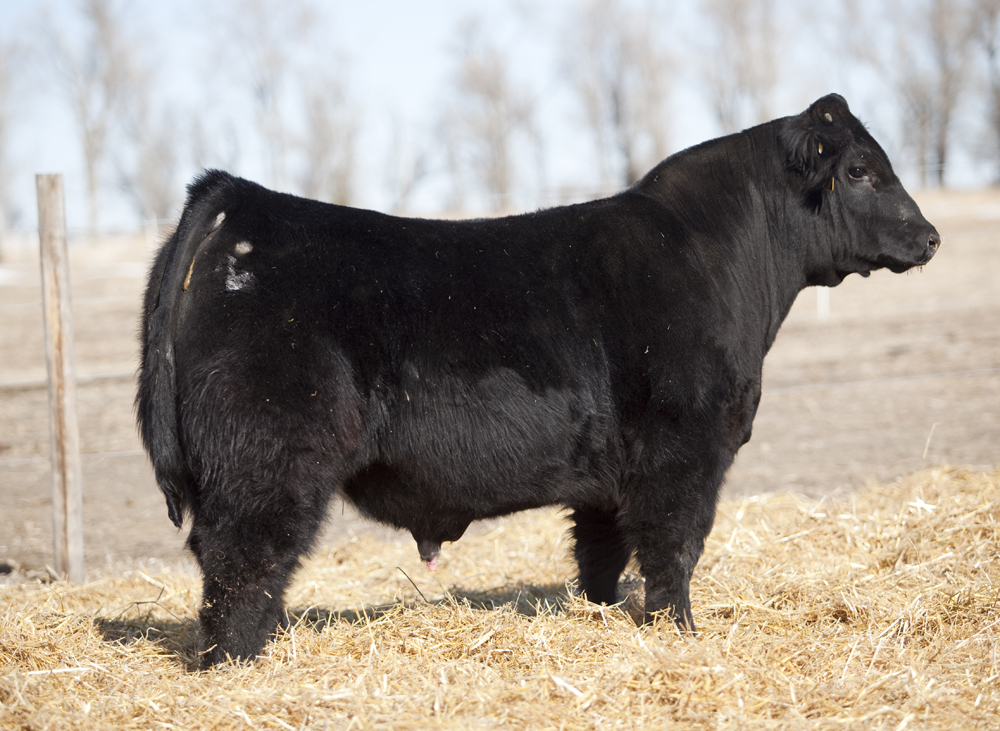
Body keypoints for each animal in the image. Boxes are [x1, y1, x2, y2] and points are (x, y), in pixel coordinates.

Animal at [137, 94, 939, 667]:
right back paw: (242, 660)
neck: (718, 257)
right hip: (267, 456)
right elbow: (675, 545)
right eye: (859, 170)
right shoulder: (685, 447)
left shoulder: (613, 476)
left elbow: (602, 556)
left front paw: (608, 616)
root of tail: (238, 199)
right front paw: (680, 631)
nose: (929, 236)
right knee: (243, 559)